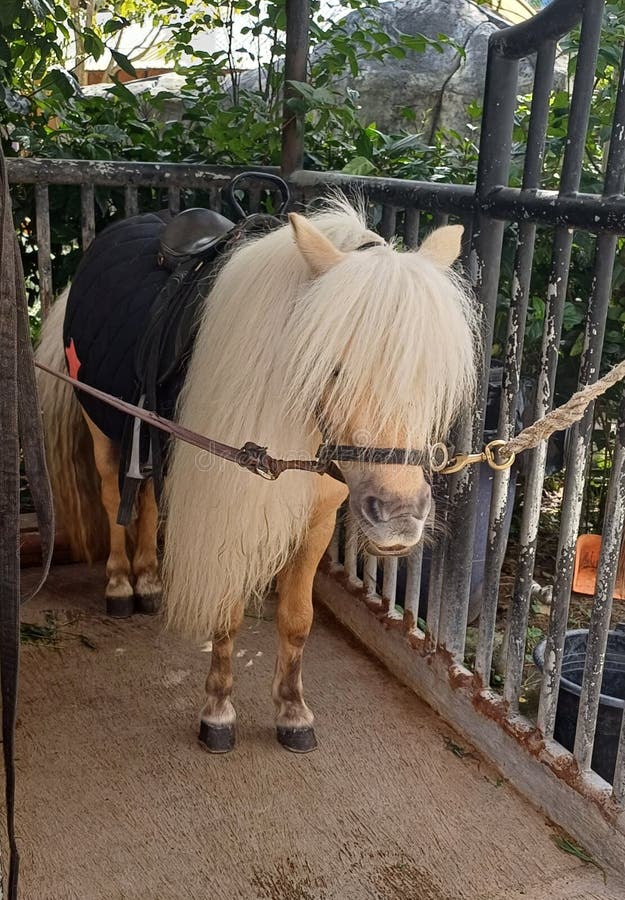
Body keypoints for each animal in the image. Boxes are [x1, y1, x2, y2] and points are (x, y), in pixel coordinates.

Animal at [36, 196, 477, 753]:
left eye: (431, 375)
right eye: (332, 367)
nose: (398, 516)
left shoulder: (318, 519)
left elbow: (297, 620)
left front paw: (292, 712)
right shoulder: (227, 512)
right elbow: (225, 613)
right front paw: (218, 711)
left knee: (150, 497)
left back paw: (150, 580)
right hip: (102, 426)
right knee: (114, 491)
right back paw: (120, 583)